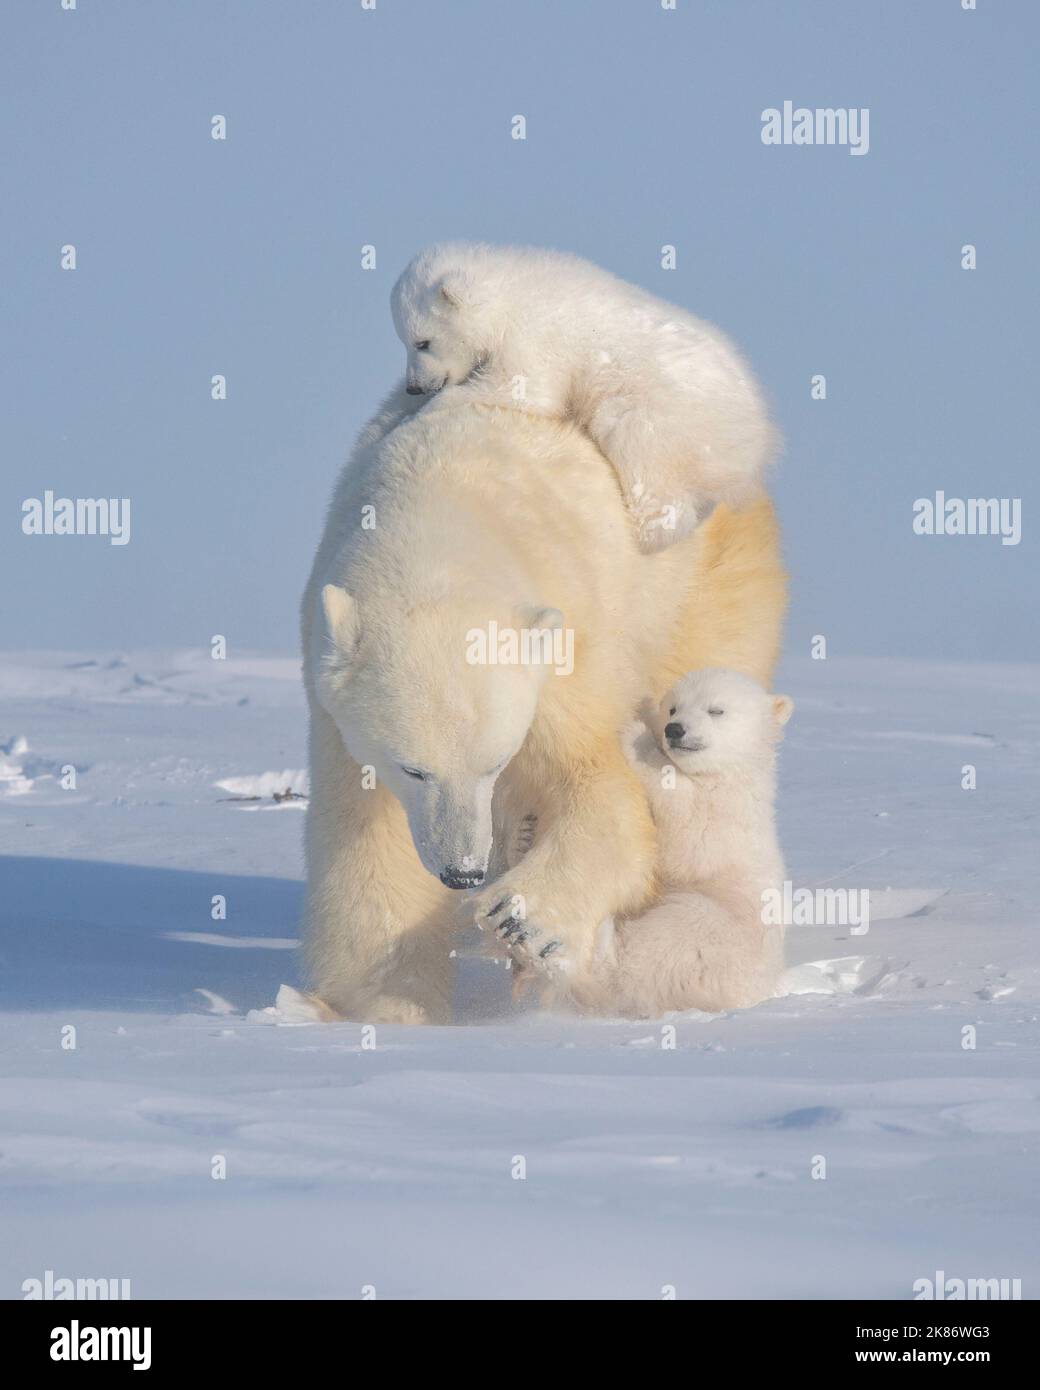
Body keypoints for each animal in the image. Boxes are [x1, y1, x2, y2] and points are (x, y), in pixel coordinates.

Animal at [390, 242, 778, 552]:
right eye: (404, 341)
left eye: (422, 342)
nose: (414, 387)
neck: (508, 295)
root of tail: (757, 441)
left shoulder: (531, 336)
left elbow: (524, 387)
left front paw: (420, 410)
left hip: (671, 419)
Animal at [584, 668, 794, 1017]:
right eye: (673, 708)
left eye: (715, 710)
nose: (674, 729)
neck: (729, 775)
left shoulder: (724, 814)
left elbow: (687, 829)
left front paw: (635, 734)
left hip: (715, 928)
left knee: (659, 948)